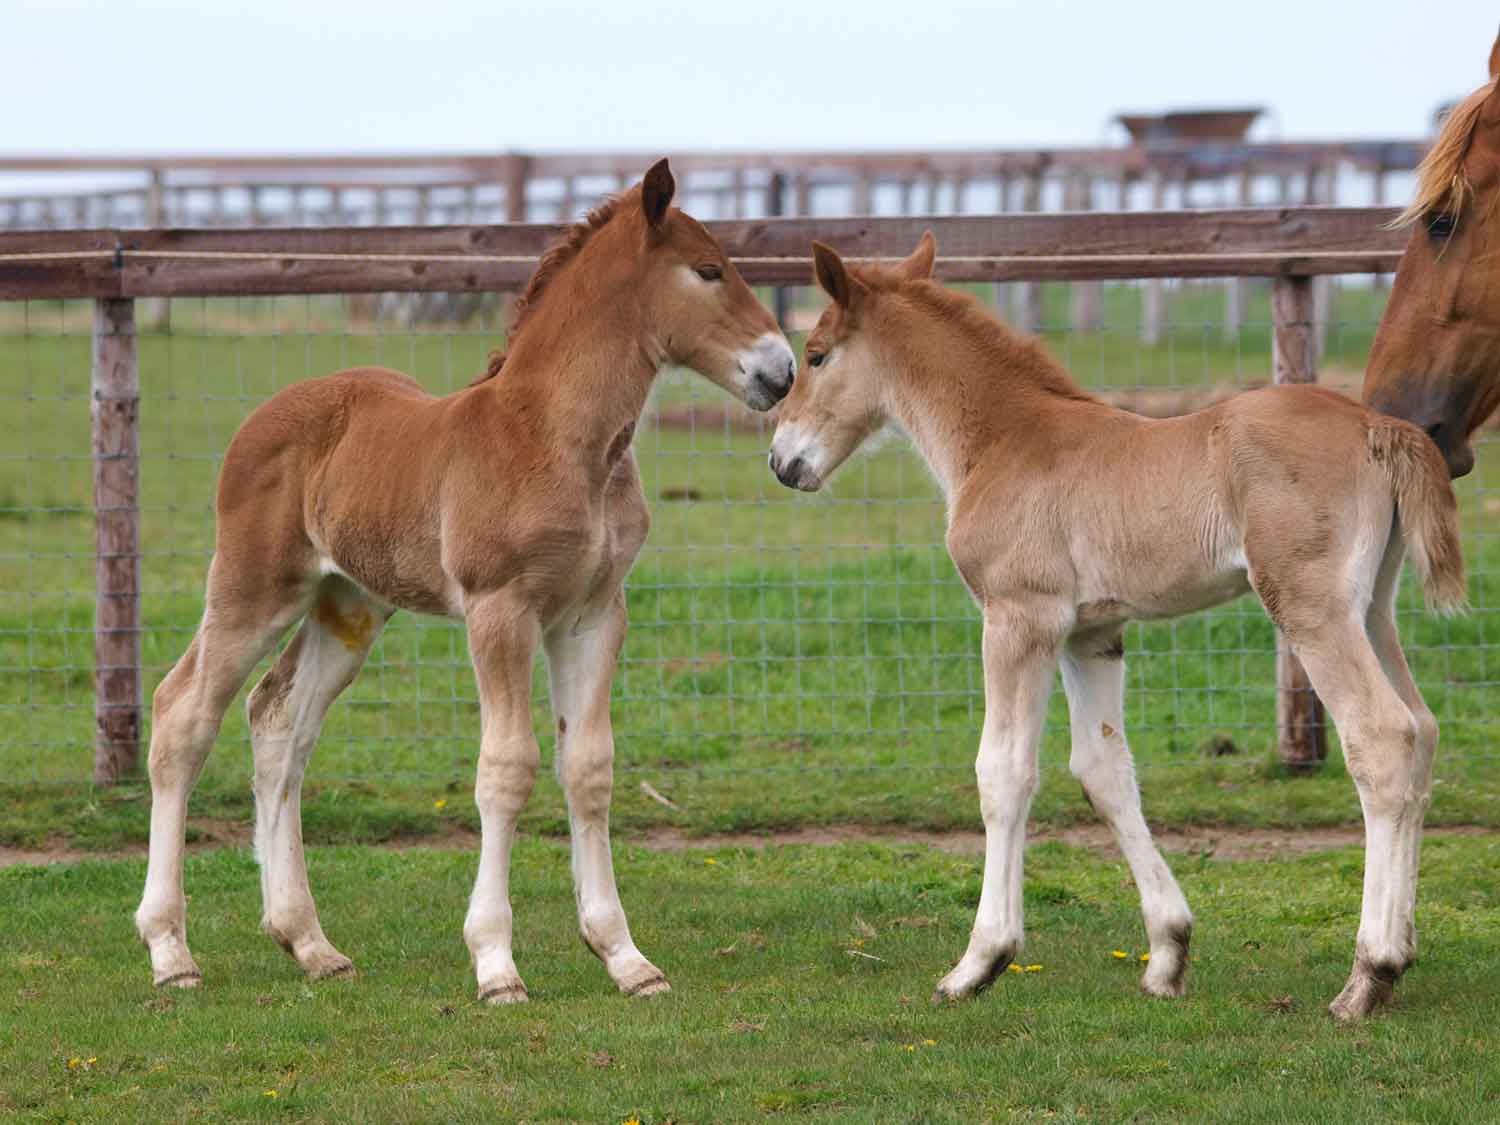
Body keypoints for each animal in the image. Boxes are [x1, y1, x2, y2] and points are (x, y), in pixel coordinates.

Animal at [133, 160, 797, 1003]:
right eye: (709, 270)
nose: (781, 369)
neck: (555, 437)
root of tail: (260, 418)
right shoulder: (500, 609)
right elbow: (506, 768)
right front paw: (495, 962)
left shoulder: (593, 614)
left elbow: (589, 767)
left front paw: (624, 955)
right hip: (254, 588)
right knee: (183, 713)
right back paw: (170, 949)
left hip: (347, 603)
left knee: (279, 721)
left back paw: (309, 941)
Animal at [768, 234, 1464, 1021]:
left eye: (816, 354)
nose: (782, 460)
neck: (1004, 440)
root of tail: (1384, 427)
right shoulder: (1090, 636)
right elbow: (1103, 773)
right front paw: (1168, 953)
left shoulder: (1020, 618)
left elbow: (1003, 772)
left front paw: (979, 962)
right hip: (1371, 607)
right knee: (1422, 730)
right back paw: (1401, 952)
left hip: (1311, 607)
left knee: (1381, 736)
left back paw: (1368, 973)